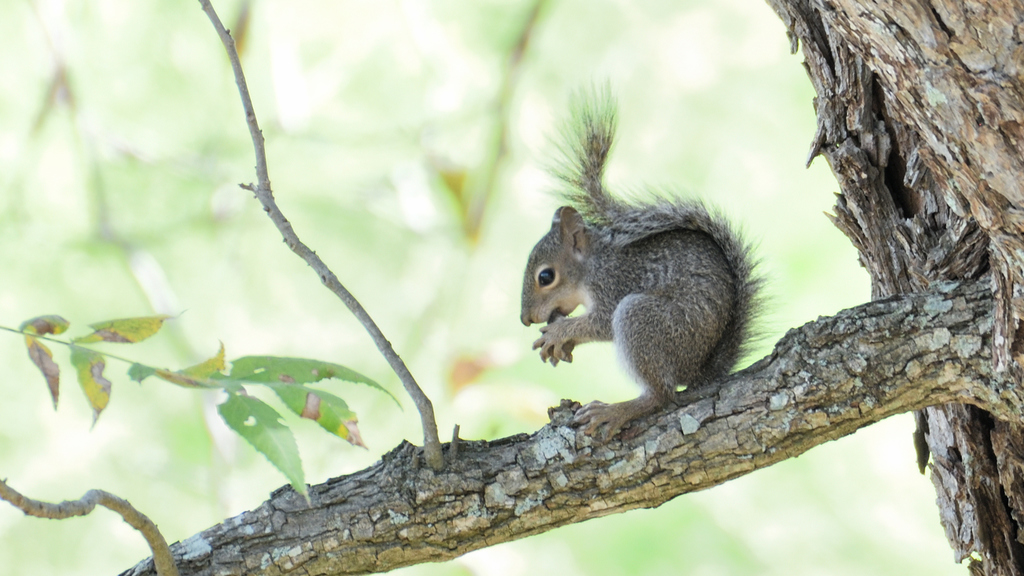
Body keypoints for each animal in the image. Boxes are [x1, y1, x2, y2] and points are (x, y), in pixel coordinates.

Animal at [519, 92, 763, 441]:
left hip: (643, 319)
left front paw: (560, 332)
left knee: (661, 396)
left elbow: (601, 324)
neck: (594, 265)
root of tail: (697, 370)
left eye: (546, 276)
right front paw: (561, 342)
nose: (525, 319)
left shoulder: (615, 285)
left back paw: (616, 411)